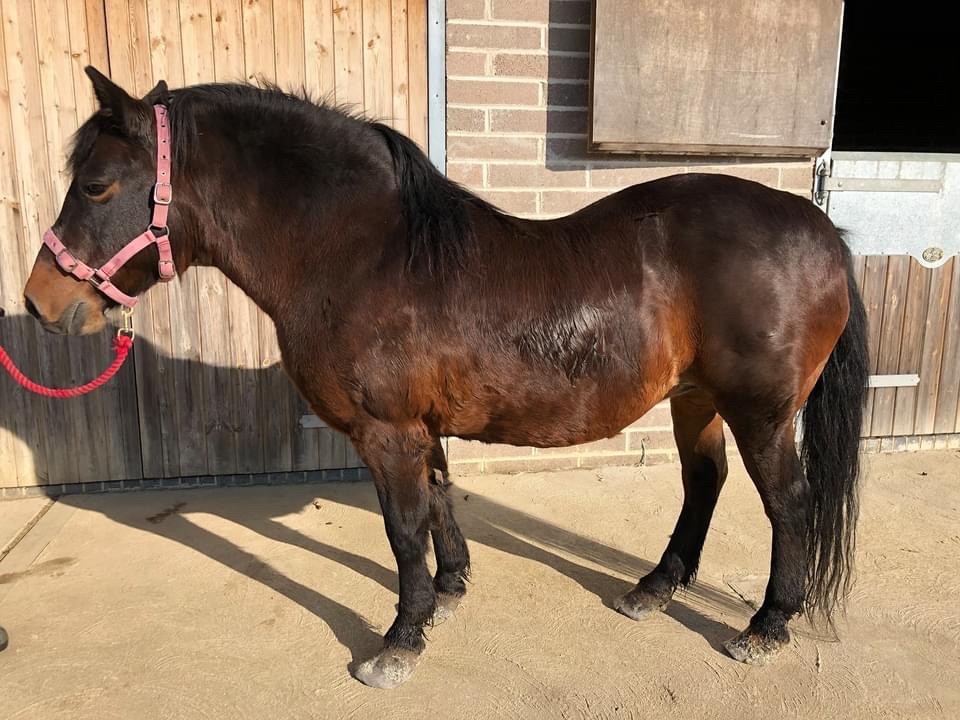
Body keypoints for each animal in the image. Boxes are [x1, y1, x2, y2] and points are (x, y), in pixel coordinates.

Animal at [21, 67, 869, 689]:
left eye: (95, 185)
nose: (39, 302)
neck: (362, 252)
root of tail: (820, 229)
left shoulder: (384, 431)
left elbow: (402, 530)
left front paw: (399, 639)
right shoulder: (417, 428)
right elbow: (437, 504)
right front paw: (451, 591)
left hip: (761, 410)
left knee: (788, 504)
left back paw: (766, 624)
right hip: (695, 398)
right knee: (704, 481)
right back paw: (655, 588)